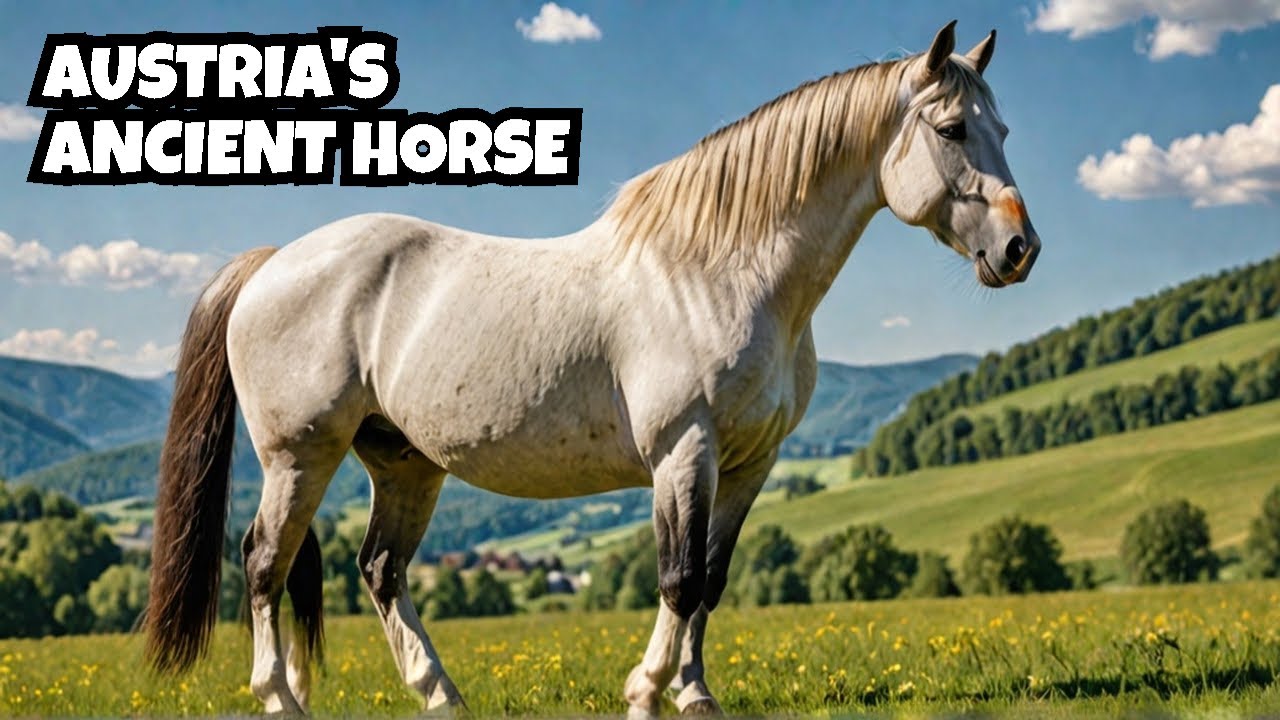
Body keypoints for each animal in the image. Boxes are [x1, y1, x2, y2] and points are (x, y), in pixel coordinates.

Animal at [142, 21, 1039, 718]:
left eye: (1004, 130)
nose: (1019, 250)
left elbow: (713, 580)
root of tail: (271, 263)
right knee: (265, 561)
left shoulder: (751, 463)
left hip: (402, 462)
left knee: (378, 570)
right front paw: (646, 691)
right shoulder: (683, 450)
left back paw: (440, 695)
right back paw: (281, 698)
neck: (719, 271)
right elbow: (678, 578)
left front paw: (696, 695)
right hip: (299, 455)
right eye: (952, 130)